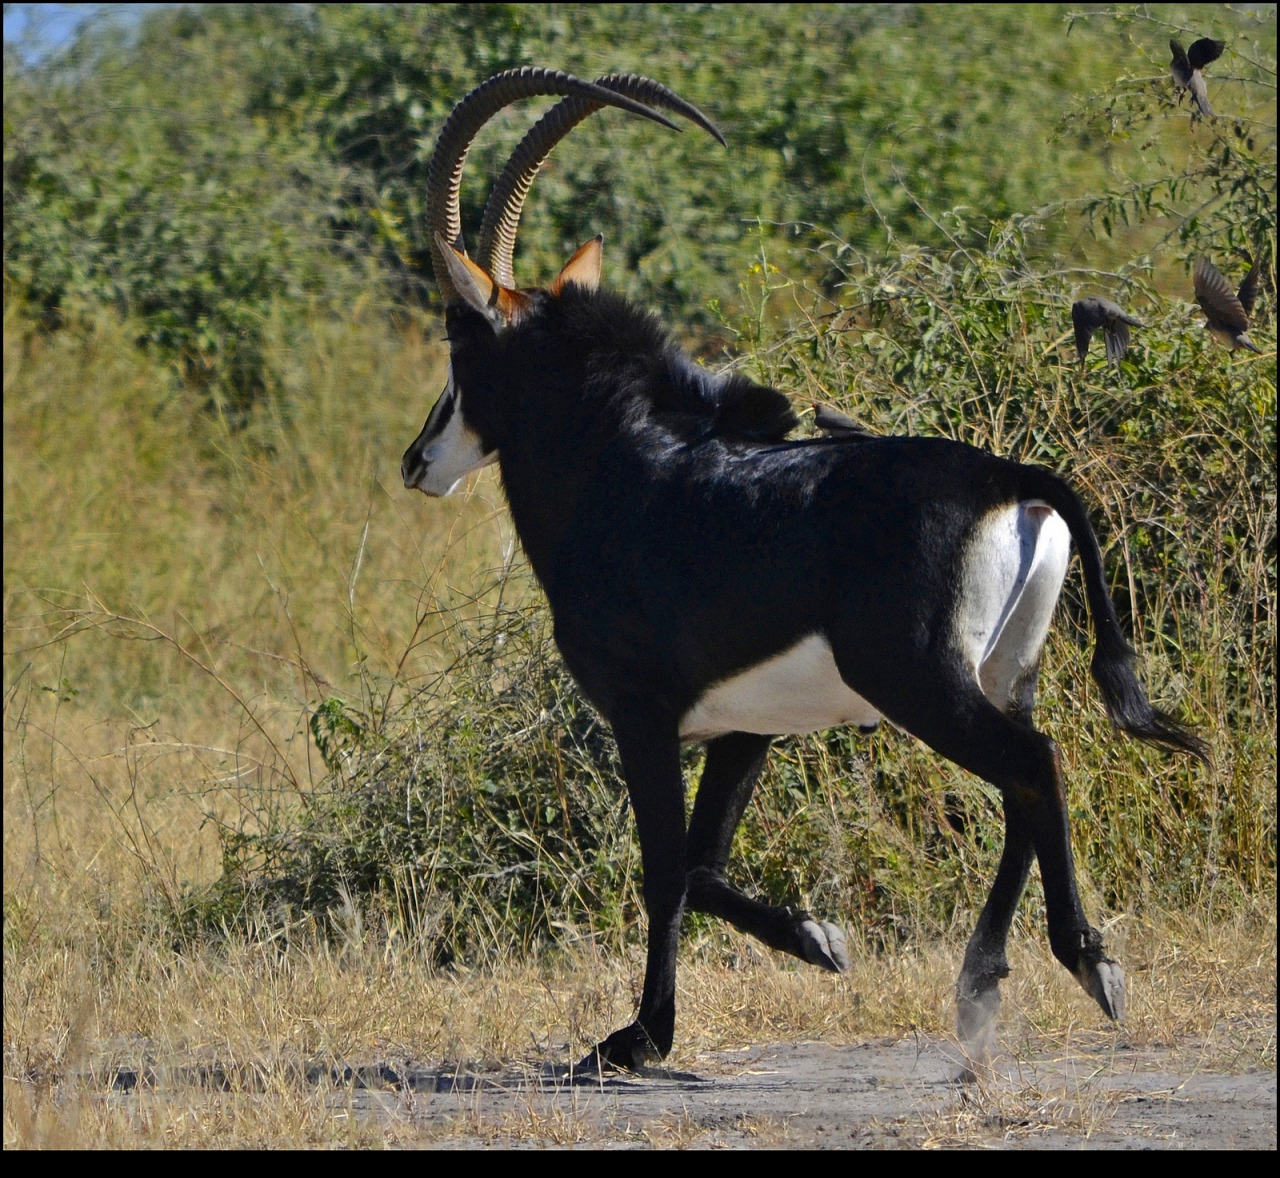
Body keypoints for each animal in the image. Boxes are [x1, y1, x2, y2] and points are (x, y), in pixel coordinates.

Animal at [401, 68, 1207, 1073]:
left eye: (458, 339)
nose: (418, 461)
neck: (628, 469)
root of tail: (1009, 477)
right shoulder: (746, 728)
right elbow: (702, 865)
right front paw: (816, 939)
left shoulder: (641, 713)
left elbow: (665, 866)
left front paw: (640, 1037)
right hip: (999, 676)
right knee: (1025, 783)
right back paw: (981, 984)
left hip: (916, 680)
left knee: (1034, 764)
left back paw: (1083, 962)